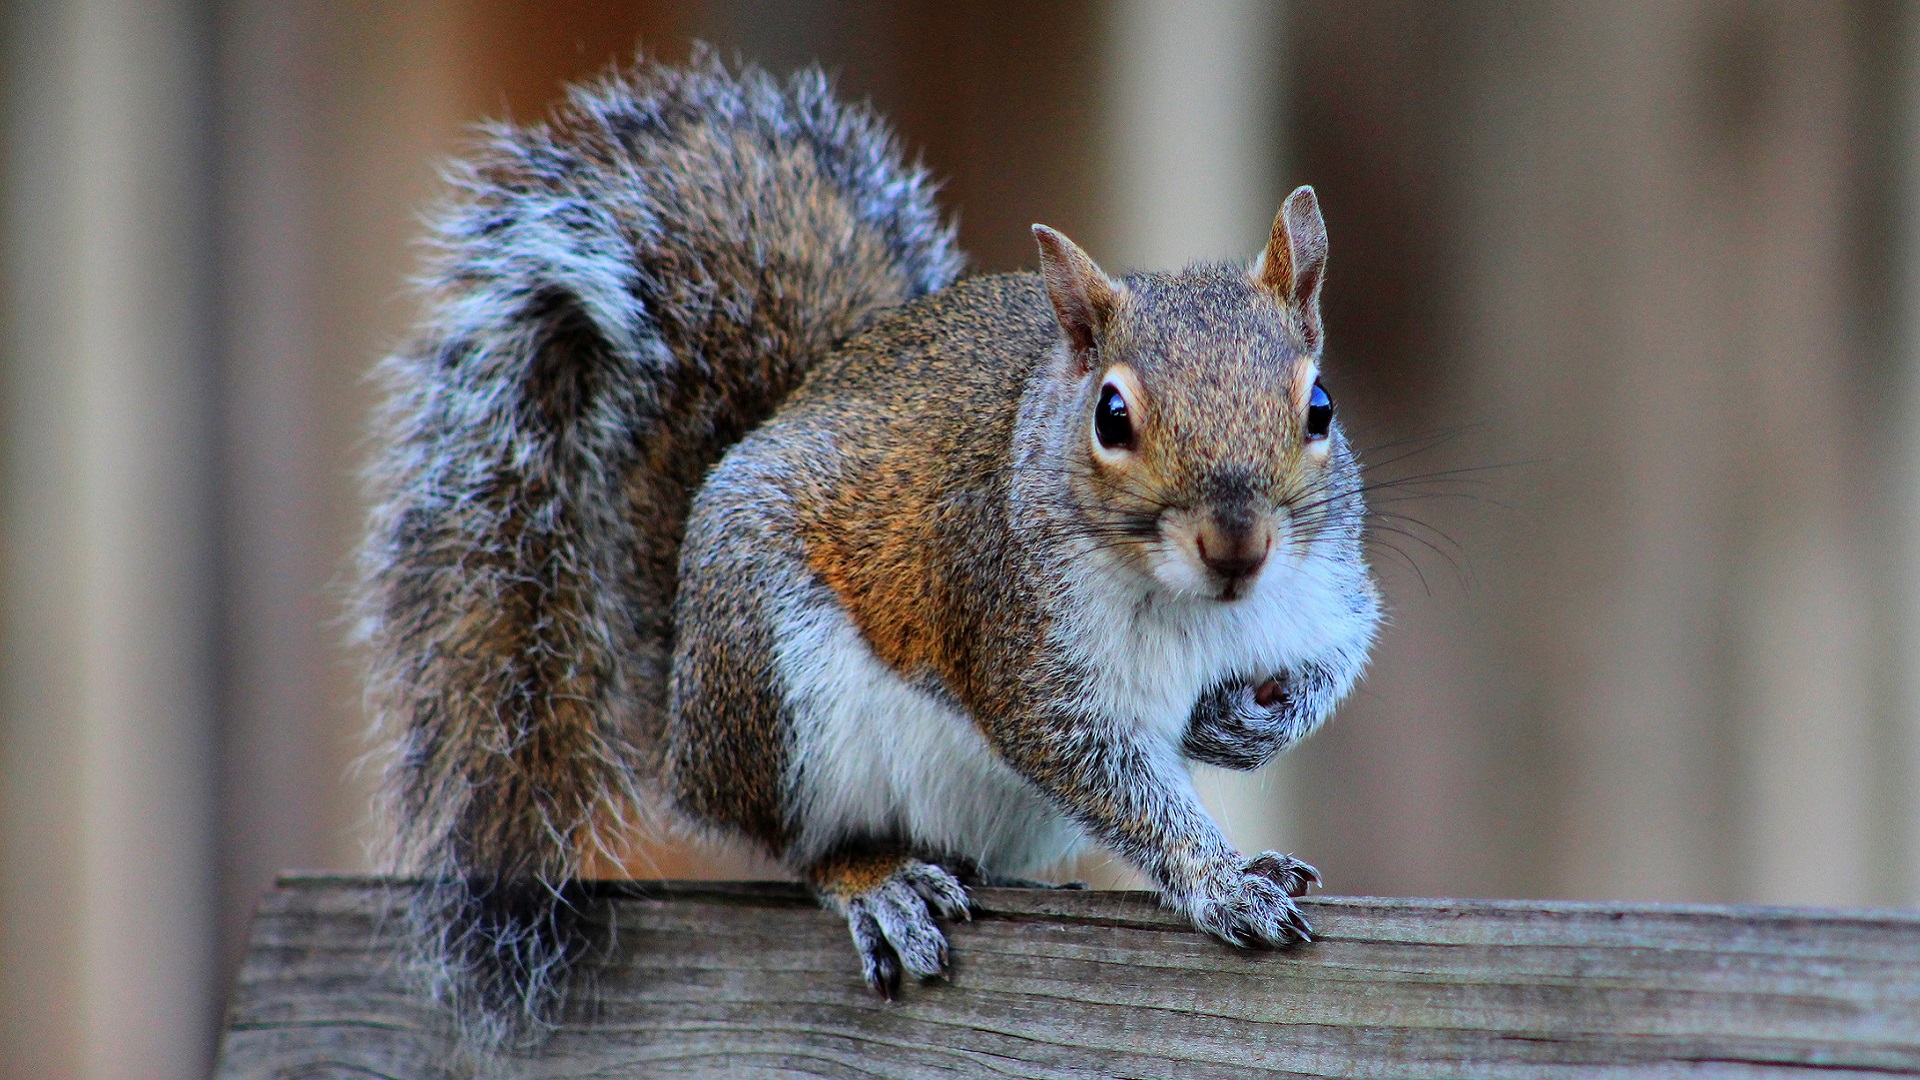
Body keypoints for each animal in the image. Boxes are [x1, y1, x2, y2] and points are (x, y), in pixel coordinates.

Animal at [357, 50, 1380, 1047]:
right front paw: (1224, 881)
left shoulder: (1327, 589)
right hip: (775, 686)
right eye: (1112, 416)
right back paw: (877, 883)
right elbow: (1105, 776)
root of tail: (685, 719)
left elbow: (1335, 662)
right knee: (800, 846)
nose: (1236, 545)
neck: (1202, 606)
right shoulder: (1019, 640)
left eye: (1321, 406)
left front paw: (1249, 727)